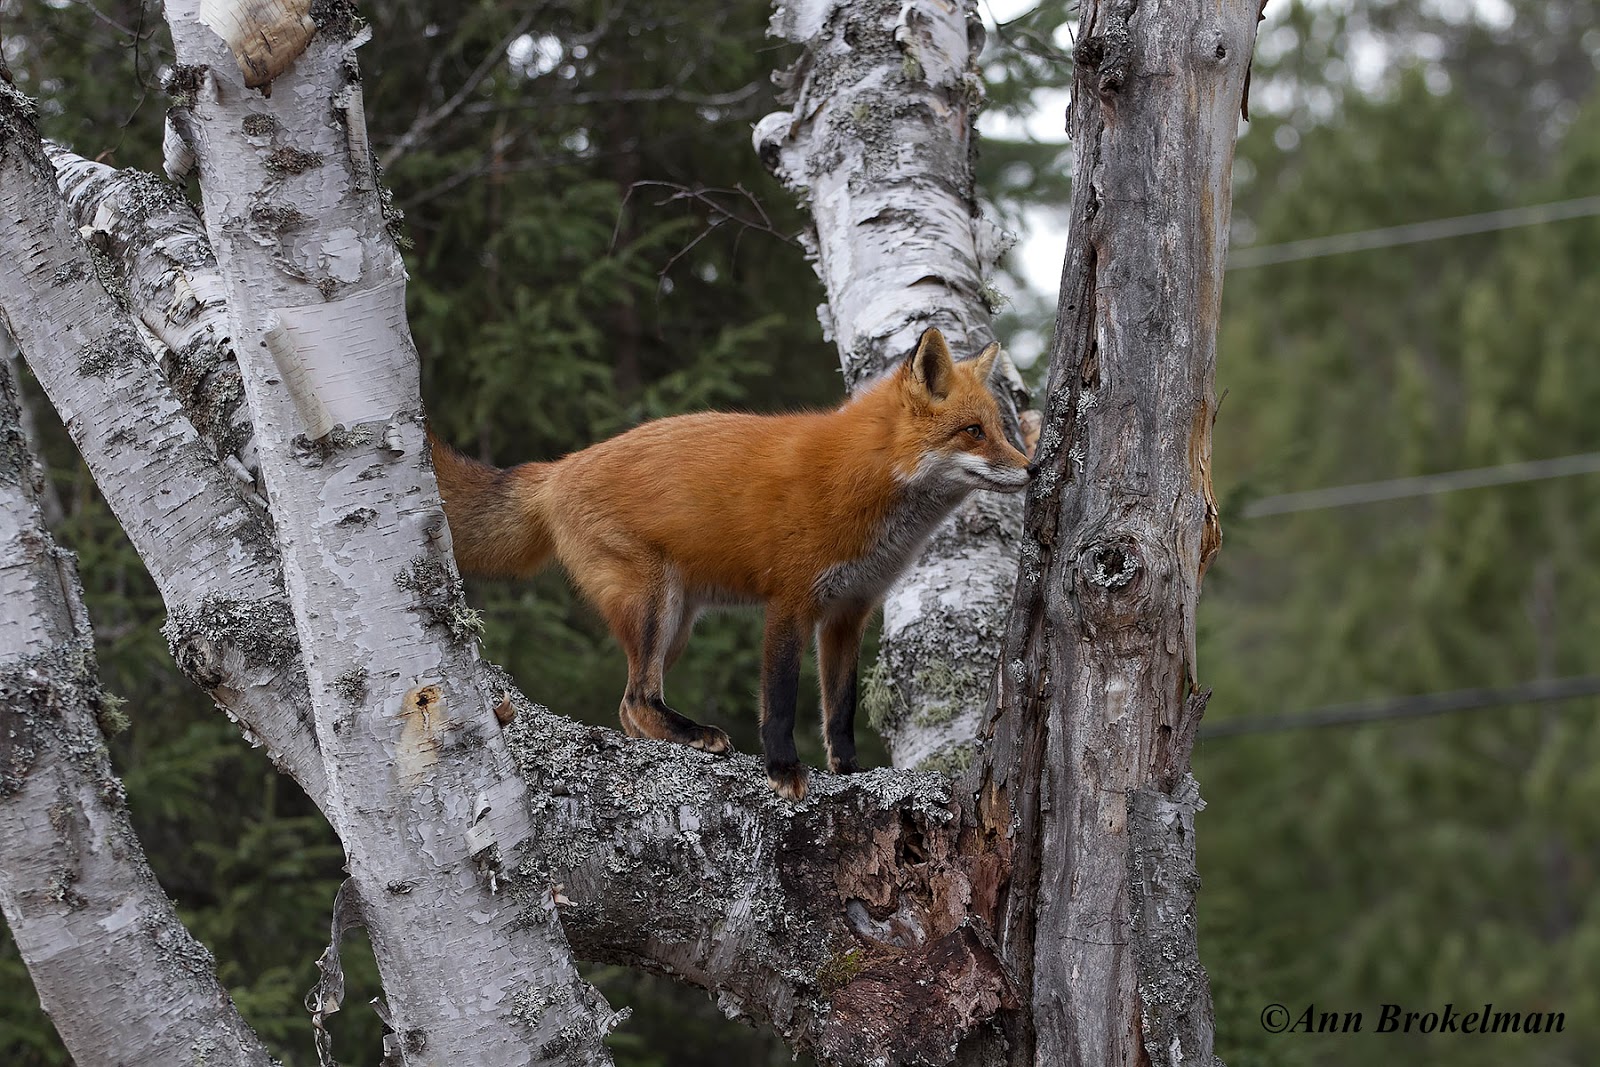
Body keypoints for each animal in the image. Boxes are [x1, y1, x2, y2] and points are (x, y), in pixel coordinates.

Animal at [429, 327, 1031, 799]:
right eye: (973, 432)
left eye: (1003, 430)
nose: (1034, 468)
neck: (867, 479)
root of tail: (556, 469)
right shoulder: (790, 602)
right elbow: (781, 701)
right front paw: (783, 770)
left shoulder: (848, 612)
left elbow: (839, 711)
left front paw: (850, 773)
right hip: (653, 608)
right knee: (638, 699)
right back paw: (695, 734)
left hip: (677, 627)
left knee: (628, 709)